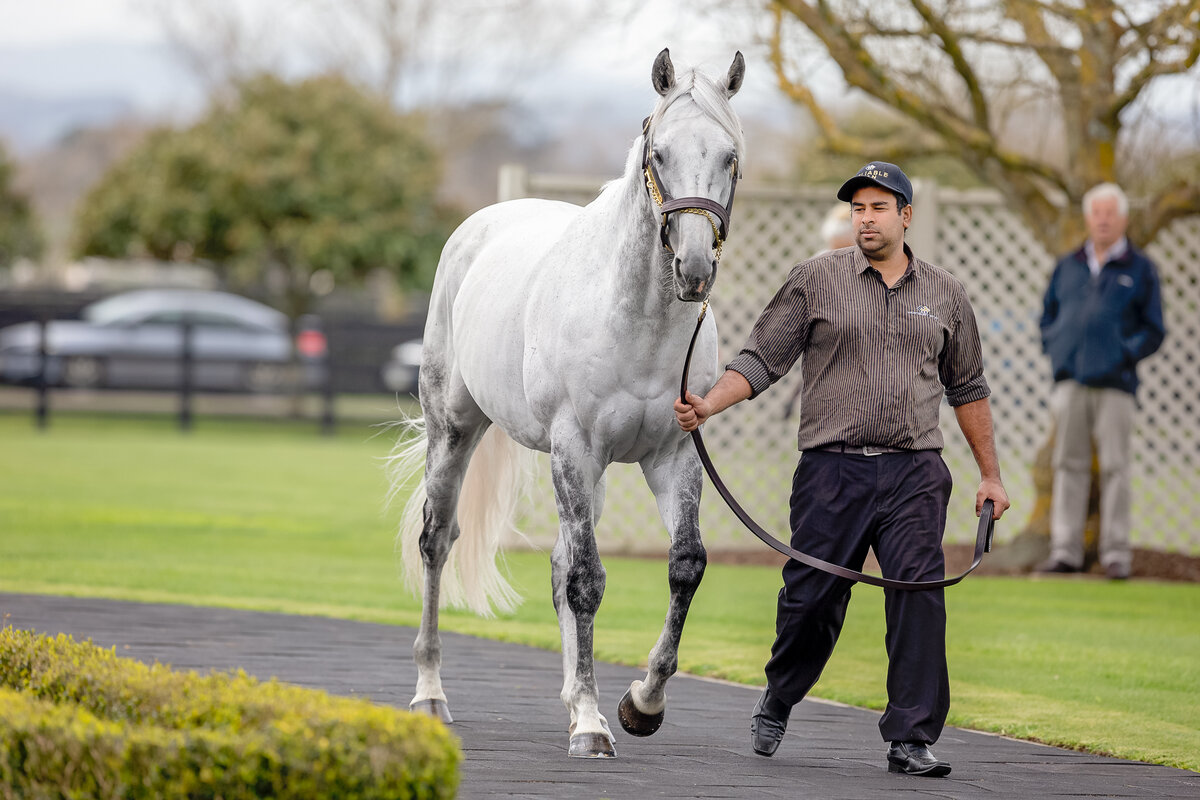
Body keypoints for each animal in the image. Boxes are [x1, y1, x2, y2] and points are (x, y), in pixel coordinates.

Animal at [388, 48, 745, 759]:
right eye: (658, 152)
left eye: (730, 156)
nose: (694, 268)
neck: (636, 319)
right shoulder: (574, 449)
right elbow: (586, 580)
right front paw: (590, 724)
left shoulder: (672, 455)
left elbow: (684, 567)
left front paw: (638, 704)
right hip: (457, 430)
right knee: (438, 541)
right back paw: (430, 695)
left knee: (558, 563)